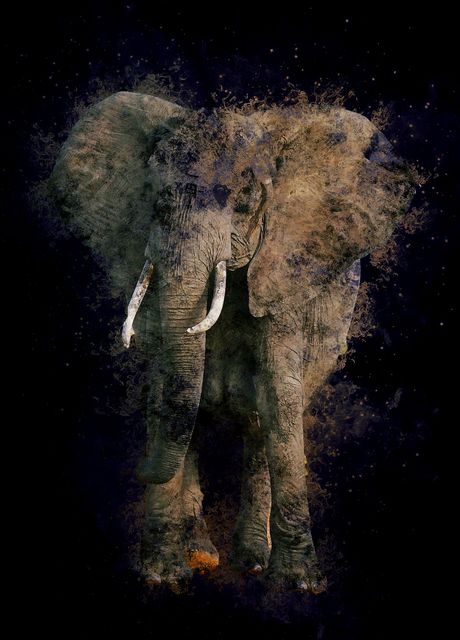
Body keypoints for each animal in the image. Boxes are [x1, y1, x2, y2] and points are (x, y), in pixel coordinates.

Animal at [50, 91, 415, 593]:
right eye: (153, 195)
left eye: (243, 198)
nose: (136, 471)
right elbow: (166, 390)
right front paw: (162, 574)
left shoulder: (288, 268)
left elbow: (279, 395)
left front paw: (300, 584)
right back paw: (203, 555)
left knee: (263, 425)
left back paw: (253, 562)